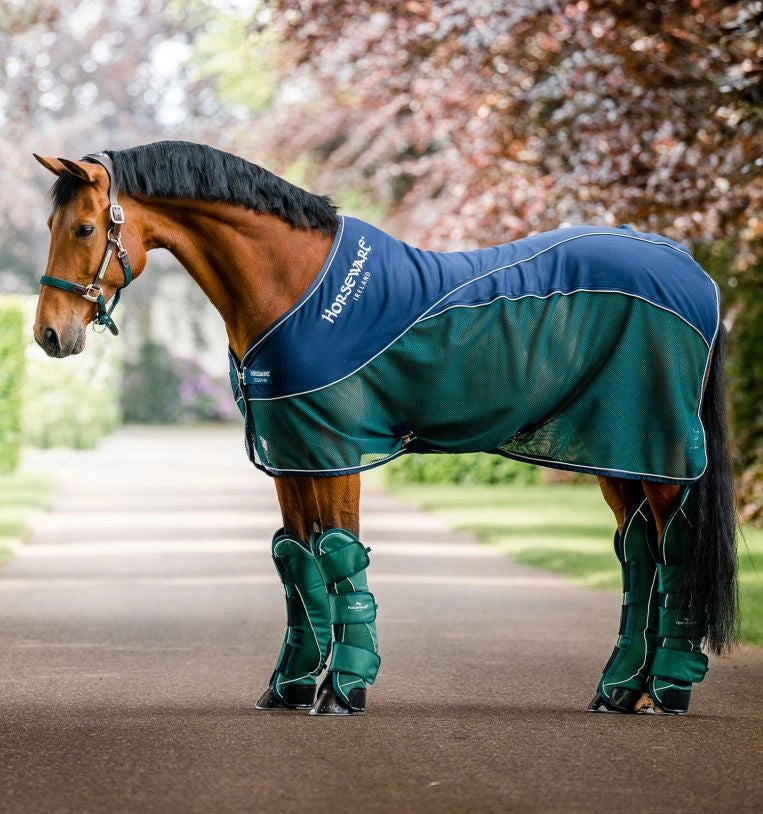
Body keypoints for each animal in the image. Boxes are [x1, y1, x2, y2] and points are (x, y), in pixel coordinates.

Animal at [33, 141, 737, 716]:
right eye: (50, 226)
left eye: (86, 227)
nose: (49, 335)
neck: (298, 289)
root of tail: (693, 273)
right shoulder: (291, 452)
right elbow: (297, 561)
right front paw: (290, 689)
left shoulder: (333, 450)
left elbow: (339, 556)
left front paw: (343, 691)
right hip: (617, 450)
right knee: (641, 552)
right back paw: (620, 691)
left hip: (655, 448)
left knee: (672, 551)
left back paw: (667, 692)